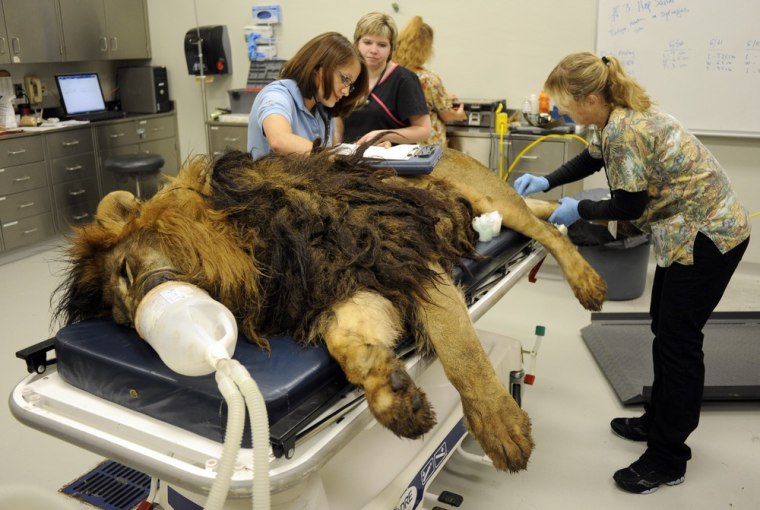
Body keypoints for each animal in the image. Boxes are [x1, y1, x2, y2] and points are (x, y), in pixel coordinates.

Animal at [53, 147, 605, 473]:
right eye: (123, 324)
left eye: (126, 272)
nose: (155, 326)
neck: (248, 245)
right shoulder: (341, 286)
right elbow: (347, 343)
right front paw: (395, 394)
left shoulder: (402, 255)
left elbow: (462, 352)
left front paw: (502, 428)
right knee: (542, 212)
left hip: (495, 201)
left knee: (548, 229)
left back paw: (588, 282)